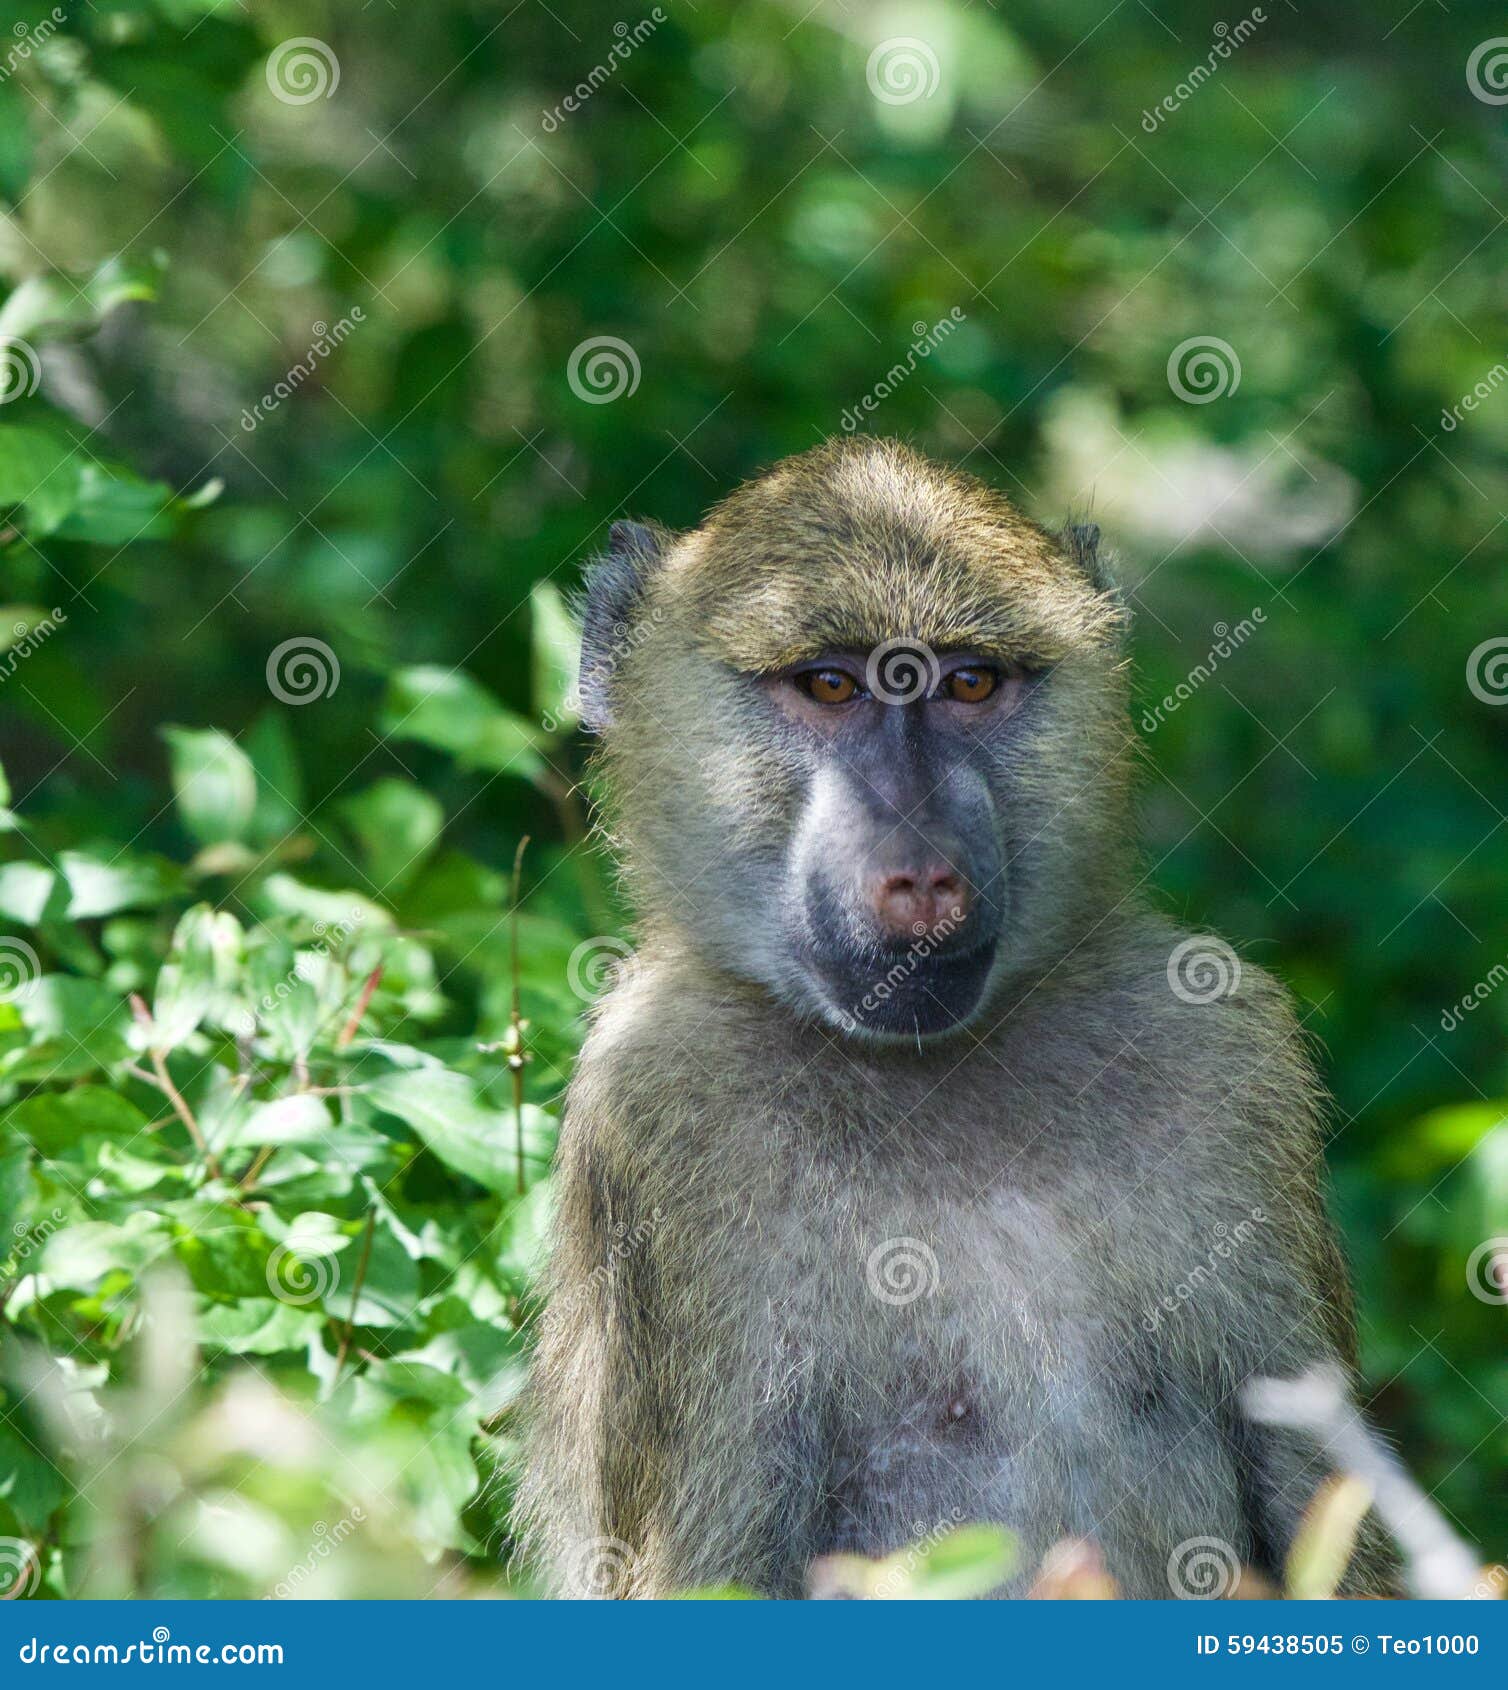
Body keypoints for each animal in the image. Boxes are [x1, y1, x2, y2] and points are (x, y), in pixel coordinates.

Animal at [515, 437, 1395, 1599]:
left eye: (969, 681)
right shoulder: (651, 1118)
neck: (932, 1064)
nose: (923, 873)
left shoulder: (1225, 1056)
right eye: (829, 684)